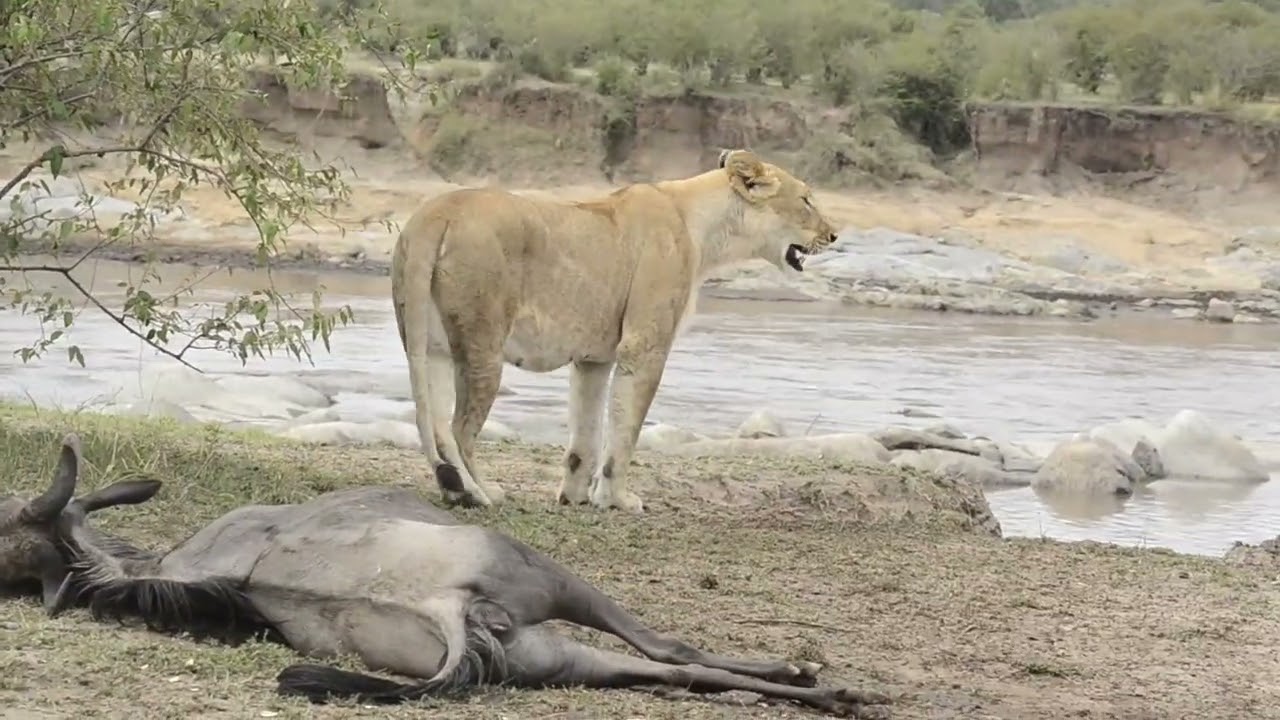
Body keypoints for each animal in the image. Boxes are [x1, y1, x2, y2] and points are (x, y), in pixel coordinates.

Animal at [391, 148, 839, 513]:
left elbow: (586, 435)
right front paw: (616, 499)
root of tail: (437, 211)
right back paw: (479, 494)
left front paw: (574, 496)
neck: (706, 229)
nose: (834, 235)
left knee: (436, 424)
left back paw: (456, 490)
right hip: (484, 344)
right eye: (806, 200)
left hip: (430, 346)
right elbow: (625, 431)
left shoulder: (593, 357)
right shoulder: (644, 346)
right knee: (460, 429)